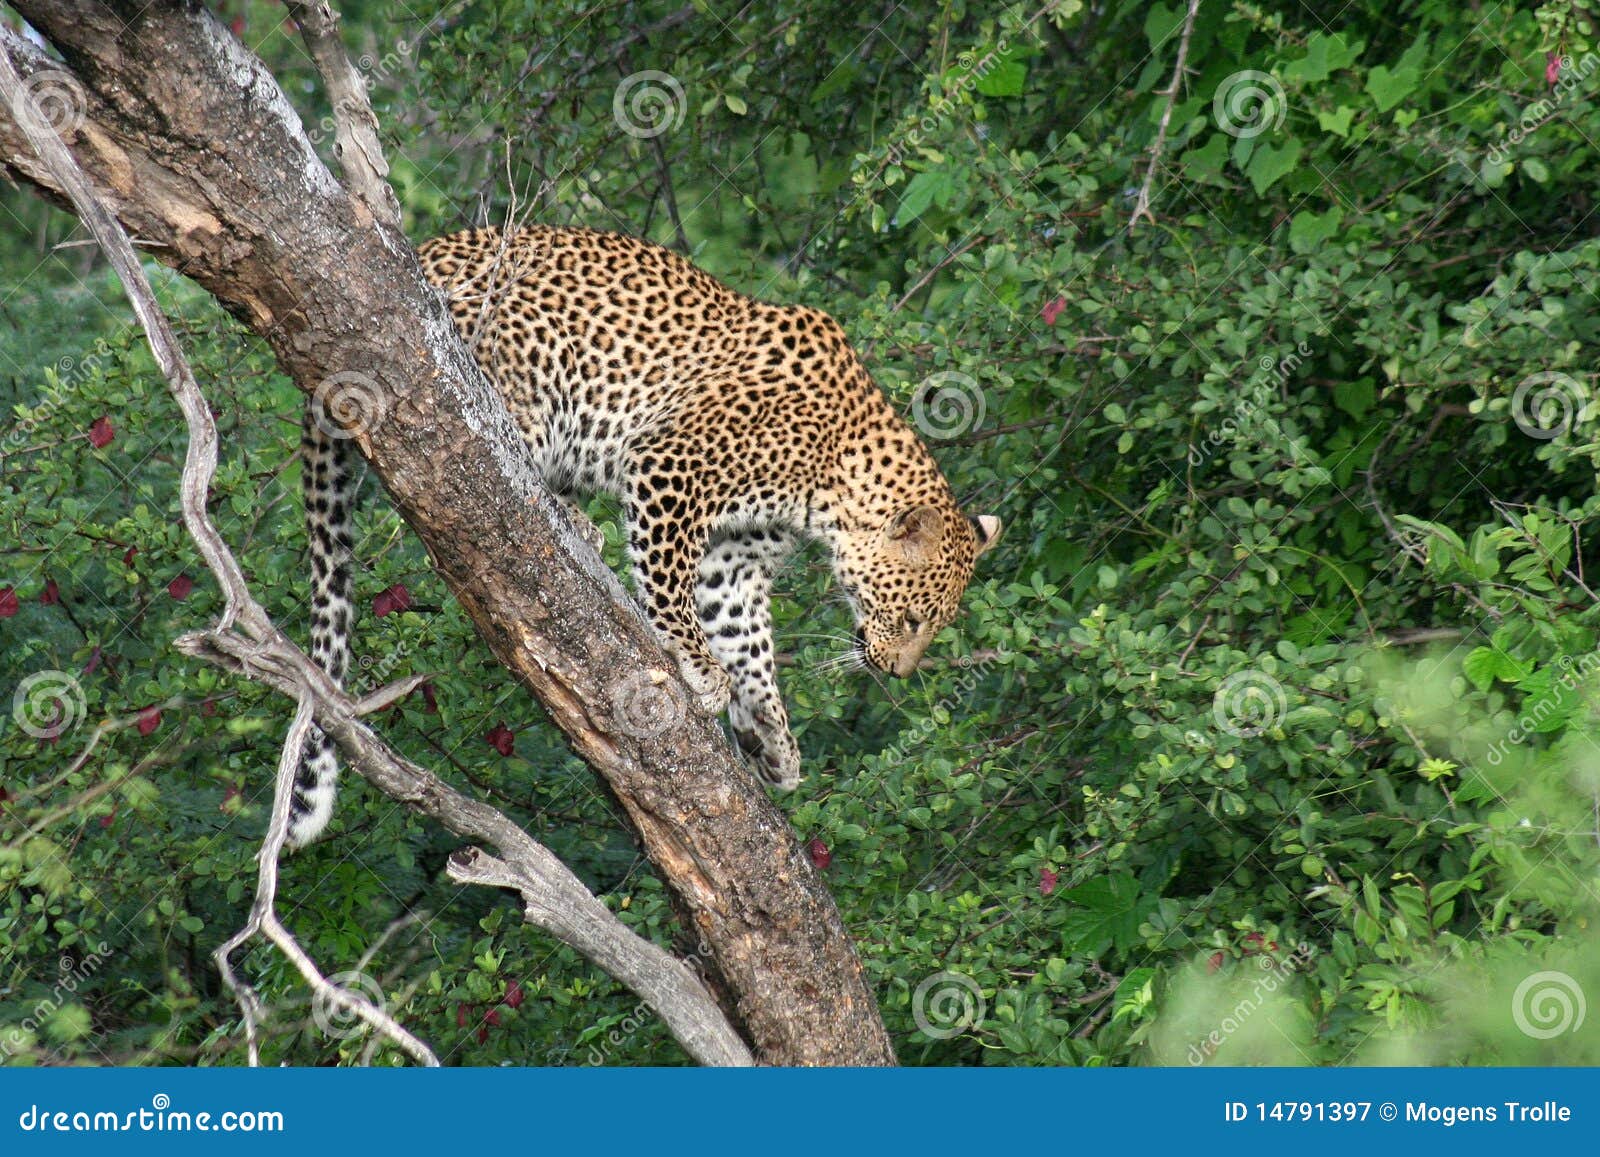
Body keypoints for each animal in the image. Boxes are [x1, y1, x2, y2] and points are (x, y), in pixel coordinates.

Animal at [288, 225, 1001, 847]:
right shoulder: (671, 467)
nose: (898, 672)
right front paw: (700, 669)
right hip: (525, 355)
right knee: (492, 445)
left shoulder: (735, 561)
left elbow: (747, 639)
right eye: (911, 619)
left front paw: (772, 735)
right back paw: (570, 515)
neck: (833, 479)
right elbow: (668, 584)